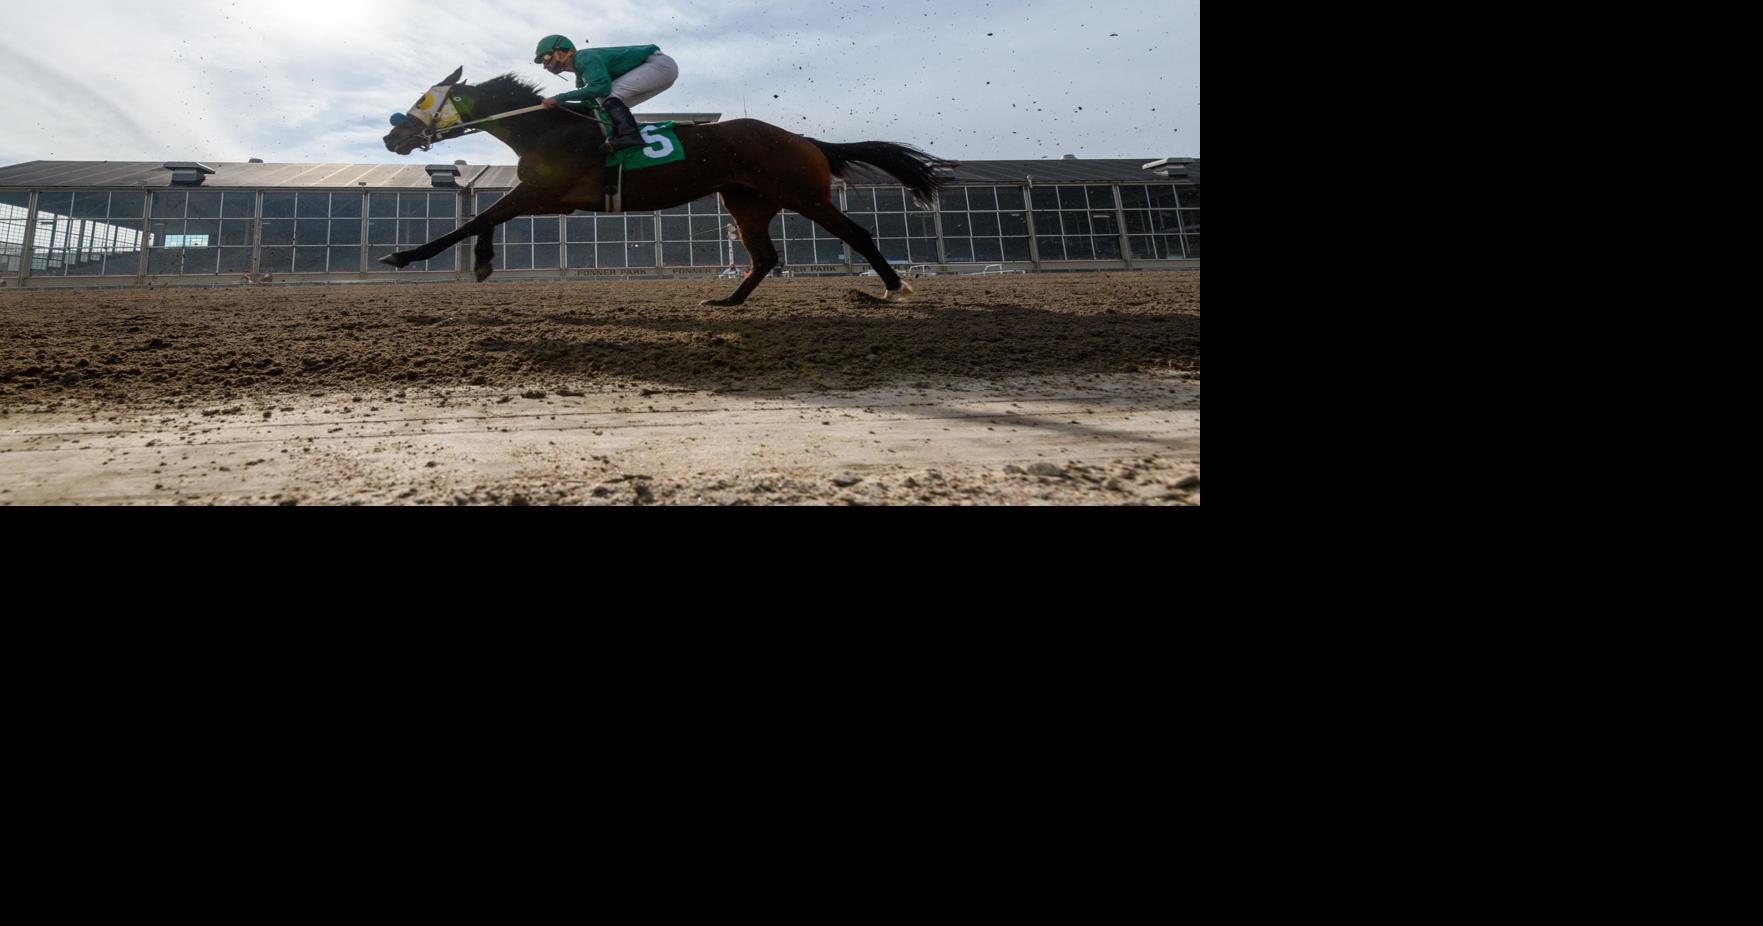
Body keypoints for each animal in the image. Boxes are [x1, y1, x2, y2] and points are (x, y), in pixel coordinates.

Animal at [381, 68, 955, 305]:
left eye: (424, 100)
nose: (392, 135)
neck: (547, 127)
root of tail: (805, 140)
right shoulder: (551, 200)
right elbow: (487, 219)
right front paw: (481, 263)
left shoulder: (544, 193)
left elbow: (474, 219)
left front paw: (404, 256)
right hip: (746, 201)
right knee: (765, 257)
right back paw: (728, 302)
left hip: (803, 196)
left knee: (858, 234)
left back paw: (893, 288)